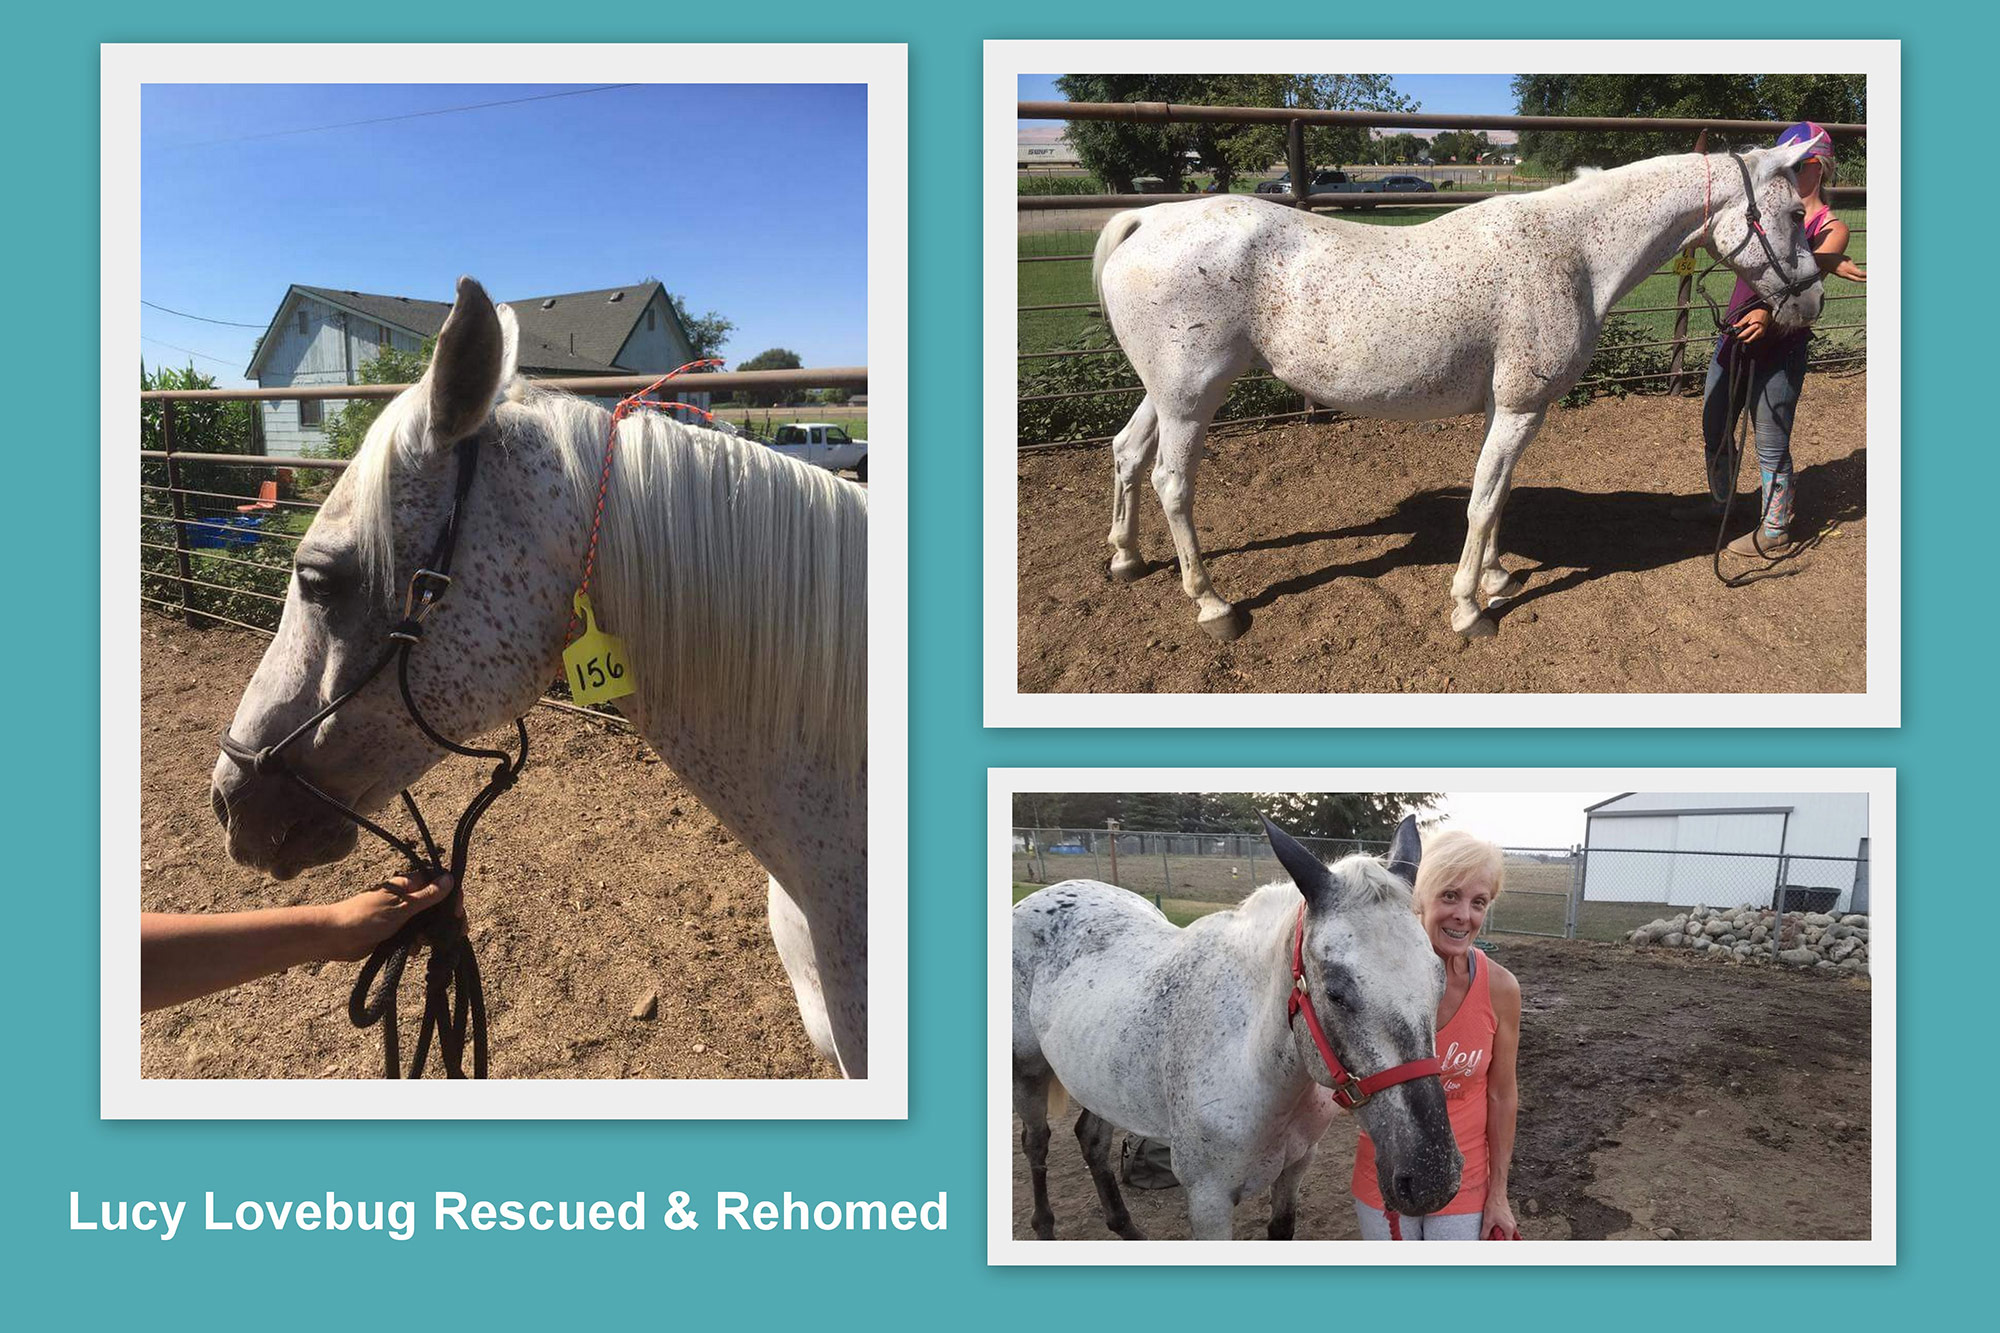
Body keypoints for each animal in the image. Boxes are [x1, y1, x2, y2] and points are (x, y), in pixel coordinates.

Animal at [1011, 816, 1458, 1240]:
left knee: (1091, 1140)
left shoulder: (1296, 1168)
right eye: (1335, 993)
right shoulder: (1208, 1201)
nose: (1433, 1176)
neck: (1253, 1065)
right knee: (1036, 1144)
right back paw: (1045, 1227)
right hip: (1029, 1074)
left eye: (1439, 980)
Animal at [1091, 143, 1828, 643]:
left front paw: (1497, 577)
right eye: (1796, 212)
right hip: (1193, 399)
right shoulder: (1522, 408)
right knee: (1171, 482)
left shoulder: (1510, 410)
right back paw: (1213, 605)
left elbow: (1498, 497)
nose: (1810, 303)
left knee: (1126, 452)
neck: (1574, 252)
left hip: (1166, 394)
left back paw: (1127, 558)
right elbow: (1481, 502)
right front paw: (1470, 609)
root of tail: (1145, 223)